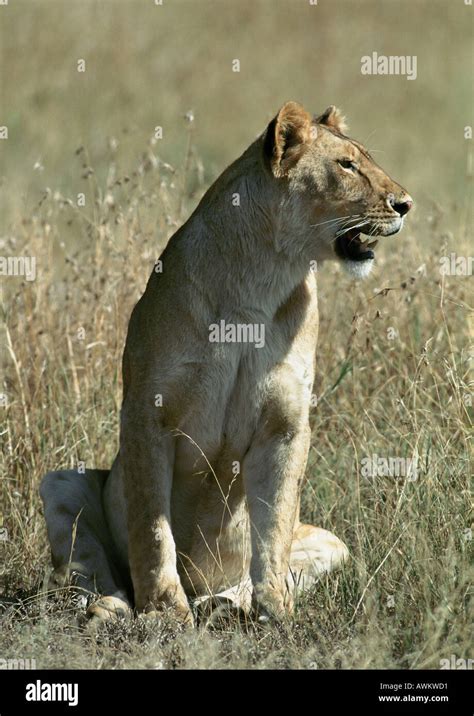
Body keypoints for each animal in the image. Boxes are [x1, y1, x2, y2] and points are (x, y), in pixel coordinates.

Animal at [40, 101, 412, 626]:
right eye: (346, 166)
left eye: (365, 159)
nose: (406, 204)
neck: (262, 275)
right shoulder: (147, 413)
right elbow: (151, 527)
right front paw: (163, 611)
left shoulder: (286, 424)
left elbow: (273, 528)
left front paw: (276, 611)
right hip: (59, 481)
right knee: (92, 570)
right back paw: (111, 608)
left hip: (332, 542)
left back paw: (223, 601)